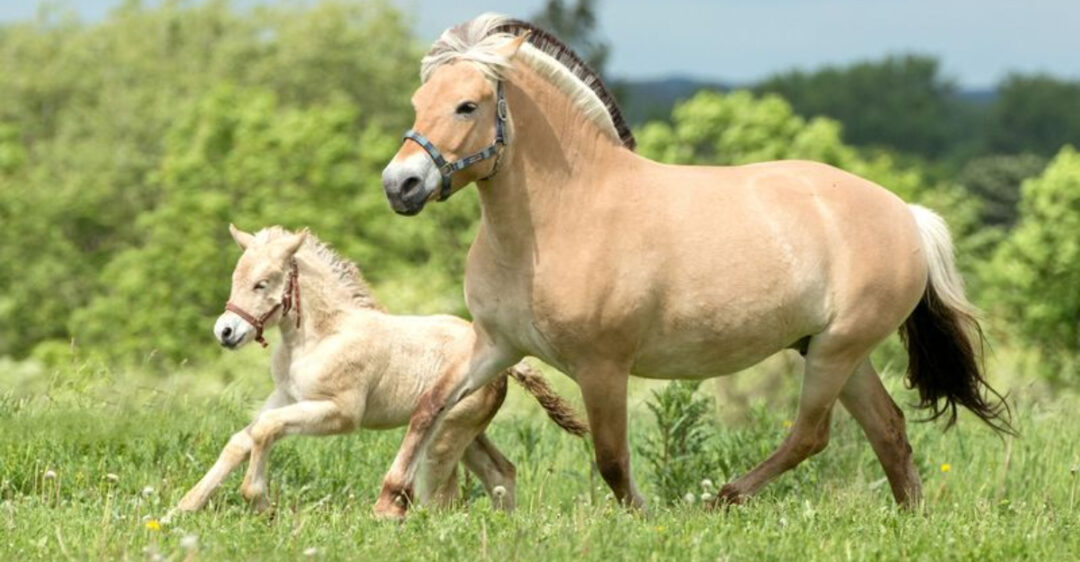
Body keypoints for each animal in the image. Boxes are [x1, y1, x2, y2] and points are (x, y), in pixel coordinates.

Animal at [175, 224, 587, 514]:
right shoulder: (285, 397)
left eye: (262, 284)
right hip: (467, 431)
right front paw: (183, 508)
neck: (321, 336)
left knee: (441, 495)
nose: (225, 332)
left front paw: (259, 500)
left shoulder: (341, 413)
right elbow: (242, 439)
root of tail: (506, 365)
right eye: (235, 279)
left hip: (445, 437)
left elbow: (265, 429)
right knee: (500, 472)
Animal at [373, 14, 1016, 518]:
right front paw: (389, 502)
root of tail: (907, 215)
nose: (400, 185)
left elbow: (611, 459)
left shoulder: (602, 367)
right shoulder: (496, 346)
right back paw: (911, 520)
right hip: (836, 352)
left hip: (836, 352)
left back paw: (722, 499)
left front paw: (644, 519)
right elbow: (430, 406)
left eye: (467, 105)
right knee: (888, 431)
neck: (558, 219)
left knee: (812, 434)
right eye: (418, 103)